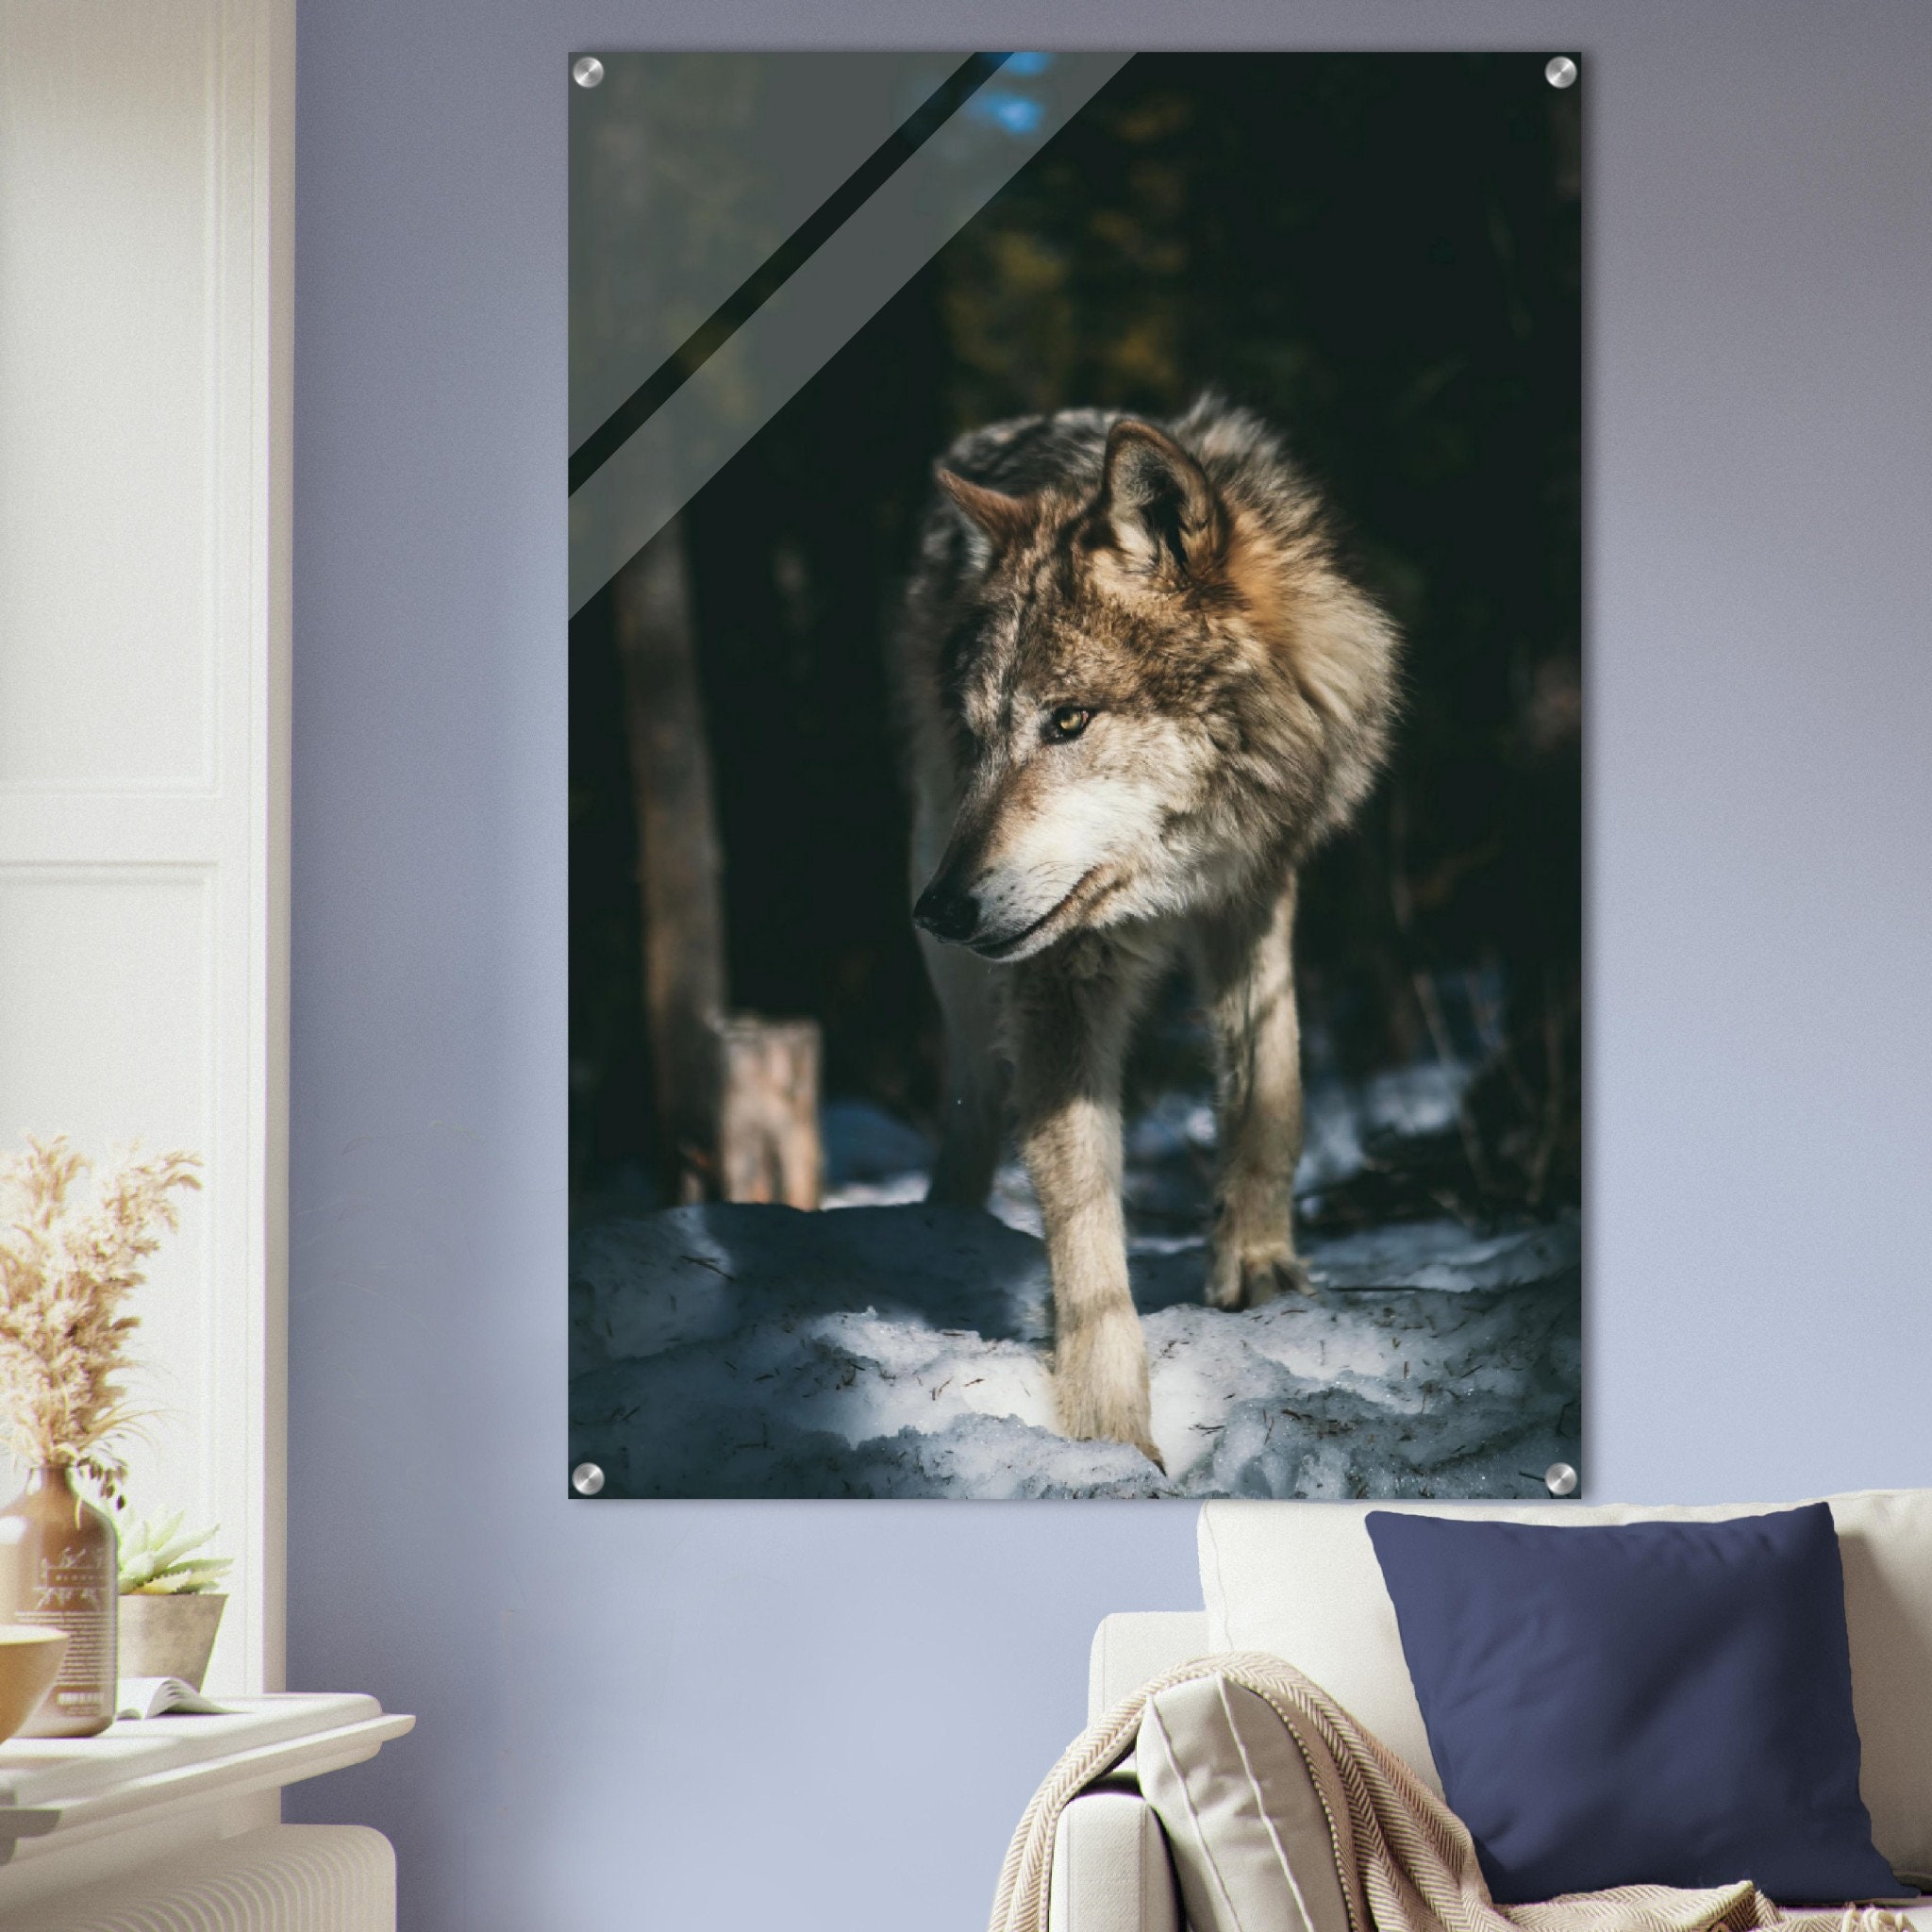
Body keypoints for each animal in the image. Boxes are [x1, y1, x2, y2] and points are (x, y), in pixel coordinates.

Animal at [894, 395, 1399, 1466]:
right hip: (935, 884)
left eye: (1067, 720)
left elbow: (1272, 1088)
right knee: (973, 1093)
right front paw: (1108, 1433)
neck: (1174, 869)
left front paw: (1257, 1265)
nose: (940, 907)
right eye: (979, 736)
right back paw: (940, 1226)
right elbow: (1082, 1211)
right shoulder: (1058, 970)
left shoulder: (1255, 886)